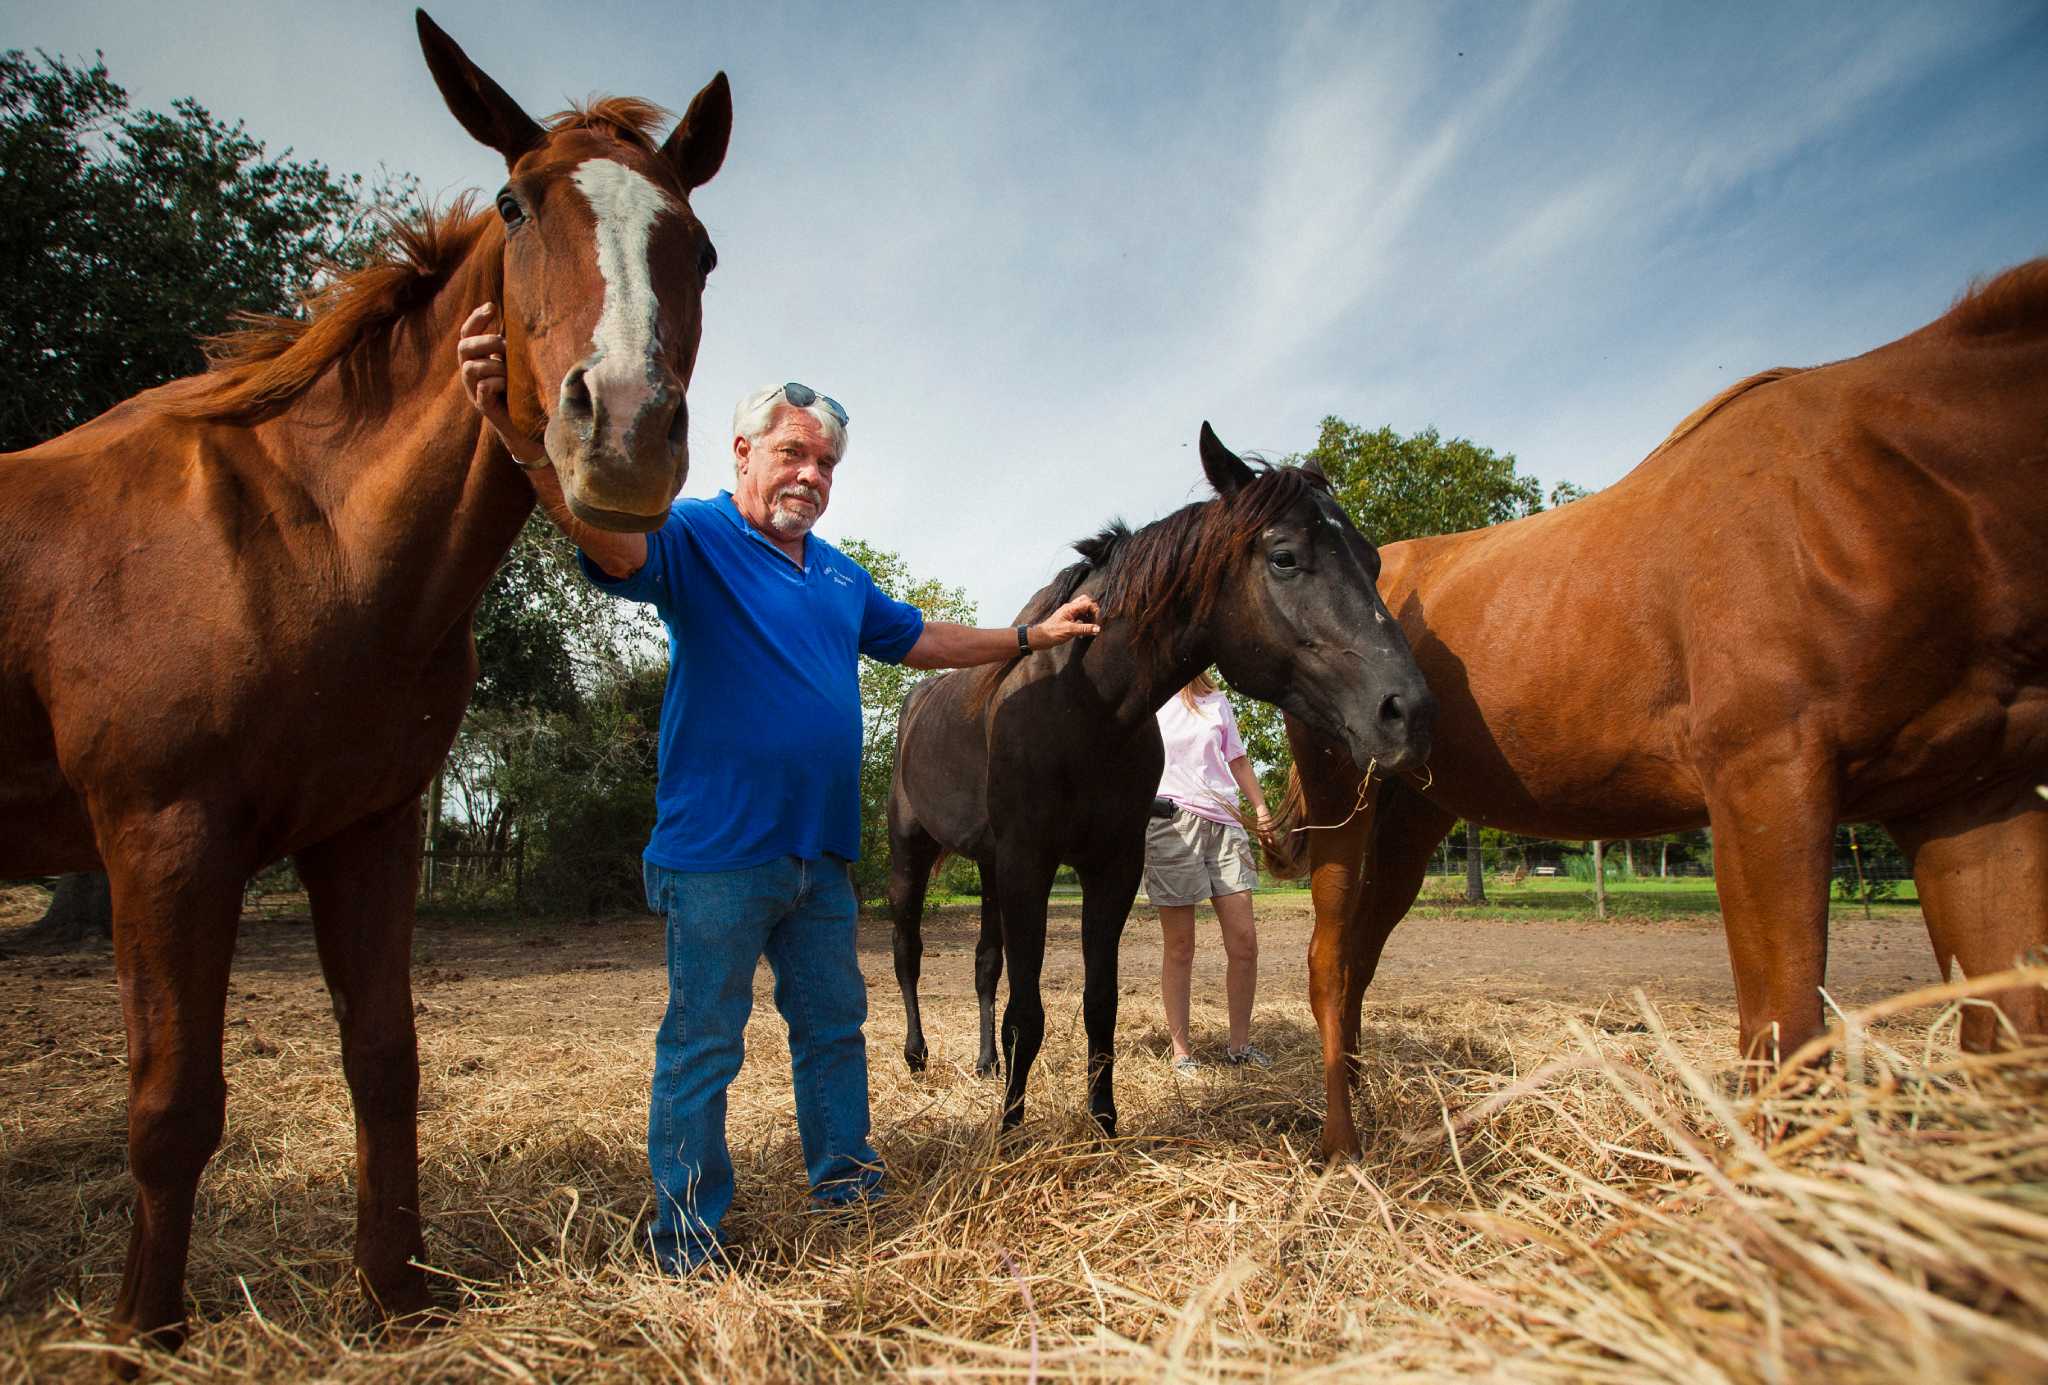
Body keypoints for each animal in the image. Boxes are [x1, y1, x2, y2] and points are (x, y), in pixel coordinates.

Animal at [0, 13, 730, 1350]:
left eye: (696, 244)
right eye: (513, 204)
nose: (622, 435)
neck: (306, 539)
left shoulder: (371, 827)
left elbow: (386, 1060)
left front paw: (398, 1293)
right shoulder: (162, 835)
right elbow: (171, 1104)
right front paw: (140, 1333)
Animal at [886, 423, 1436, 1136]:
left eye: (1371, 562)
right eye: (1284, 557)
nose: (1410, 713)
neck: (1083, 702)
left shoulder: (1111, 865)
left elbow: (1098, 1002)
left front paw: (1103, 1124)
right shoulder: (1028, 860)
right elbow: (1027, 1012)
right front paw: (1009, 1133)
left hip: (986, 866)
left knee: (984, 965)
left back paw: (983, 1066)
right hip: (912, 852)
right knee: (907, 952)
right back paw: (917, 1056)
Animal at [1265, 258, 2048, 1159]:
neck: (1895, 485)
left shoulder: (1968, 800)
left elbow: (2010, 1033)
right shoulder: (1766, 779)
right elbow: (1784, 1030)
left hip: (1415, 815)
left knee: (1359, 955)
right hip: (1345, 803)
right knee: (1329, 959)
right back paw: (1340, 1145)